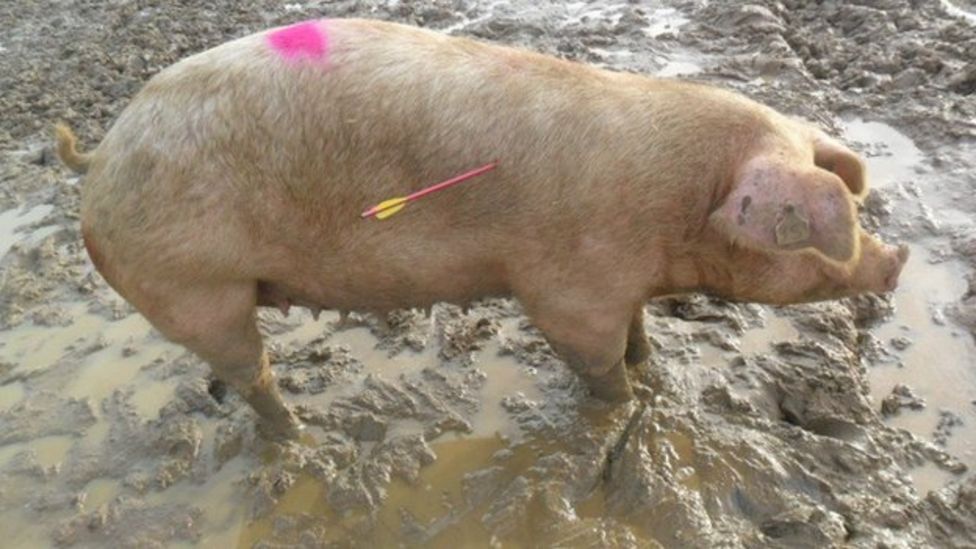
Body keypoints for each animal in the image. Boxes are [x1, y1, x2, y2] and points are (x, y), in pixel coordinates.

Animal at [54, 18, 908, 438]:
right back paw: (299, 439)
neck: (675, 206)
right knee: (248, 370)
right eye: (819, 228)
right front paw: (624, 408)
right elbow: (597, 361)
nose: (897, 258)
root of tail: (101, 156)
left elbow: (639, 333)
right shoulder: (567, 289)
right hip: (193, 286)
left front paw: (656, 374)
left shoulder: (624, 282)